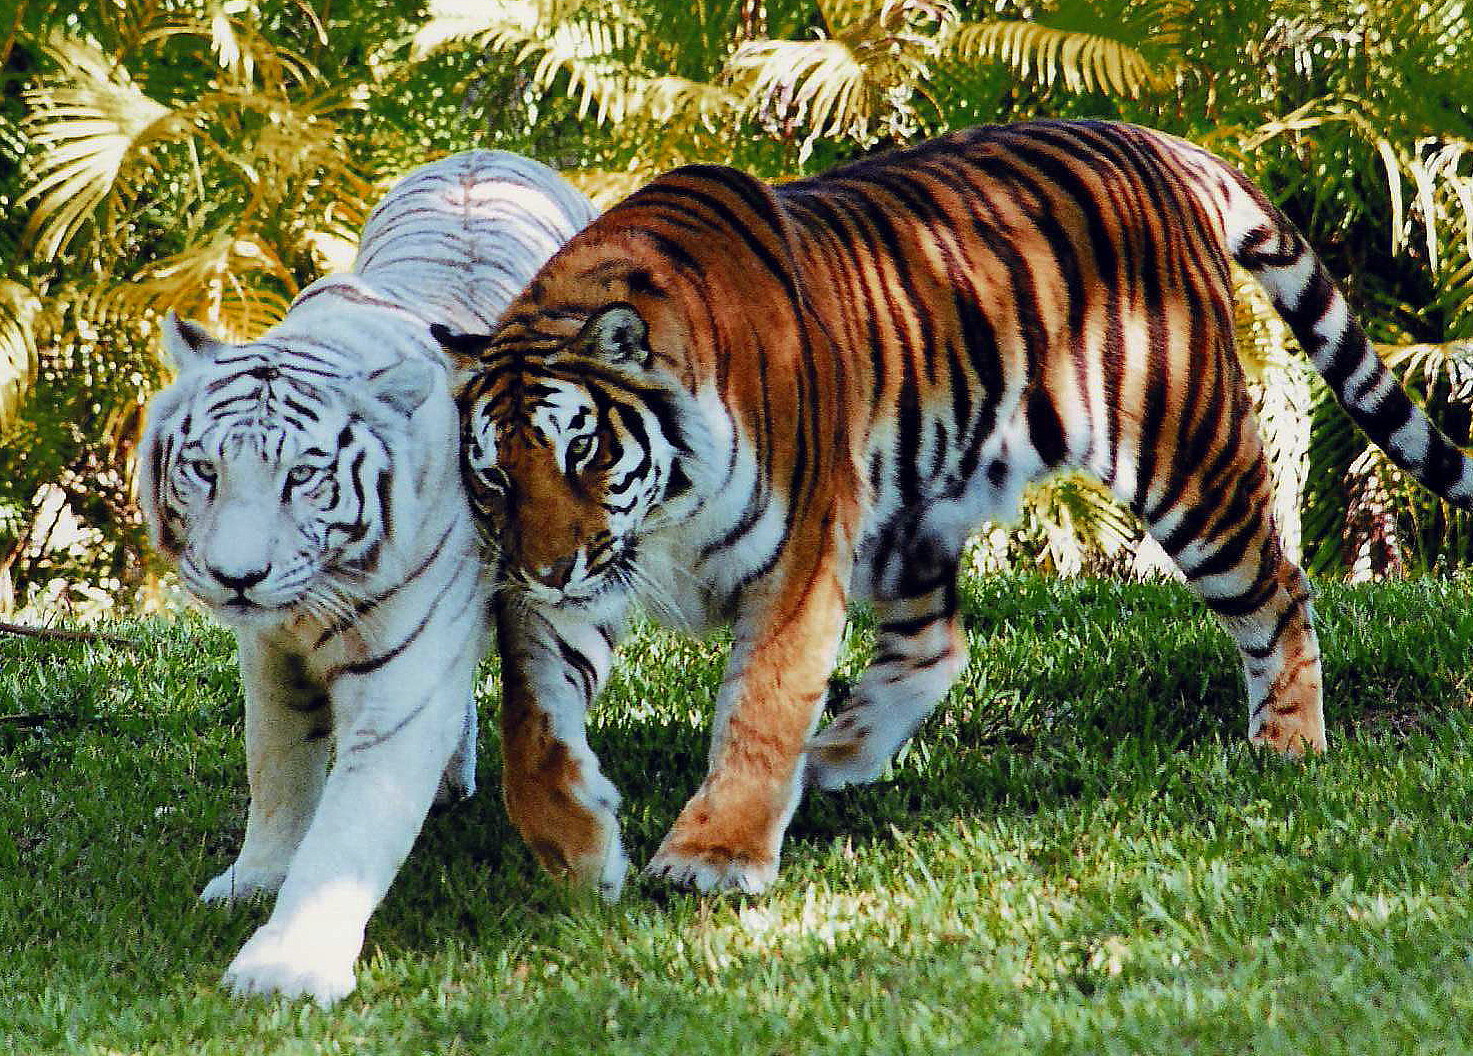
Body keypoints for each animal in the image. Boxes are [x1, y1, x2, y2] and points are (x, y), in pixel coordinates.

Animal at [139, 150, 595, 1003]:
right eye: (204, 470)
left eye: (303, 477)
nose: (236, 577)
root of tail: (489, 155)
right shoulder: (271, 658)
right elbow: (277, 769)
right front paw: (255, 879)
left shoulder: (399, 682)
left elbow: (350, 830)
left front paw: (287, 965)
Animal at [434, 120, 1473, 897]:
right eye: (495, 477)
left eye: (584, 450)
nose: (545, 568)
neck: (659, 519)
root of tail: (1152, 139)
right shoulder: (571, 593)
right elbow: (533, 731)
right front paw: (579, 854)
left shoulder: (794, 561)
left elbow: (760, 708)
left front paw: (711, 858)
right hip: (912, 507)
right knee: (935, 642)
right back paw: (840, 753)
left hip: (1188, 456)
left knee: (1280, 592)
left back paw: (1287, 746)